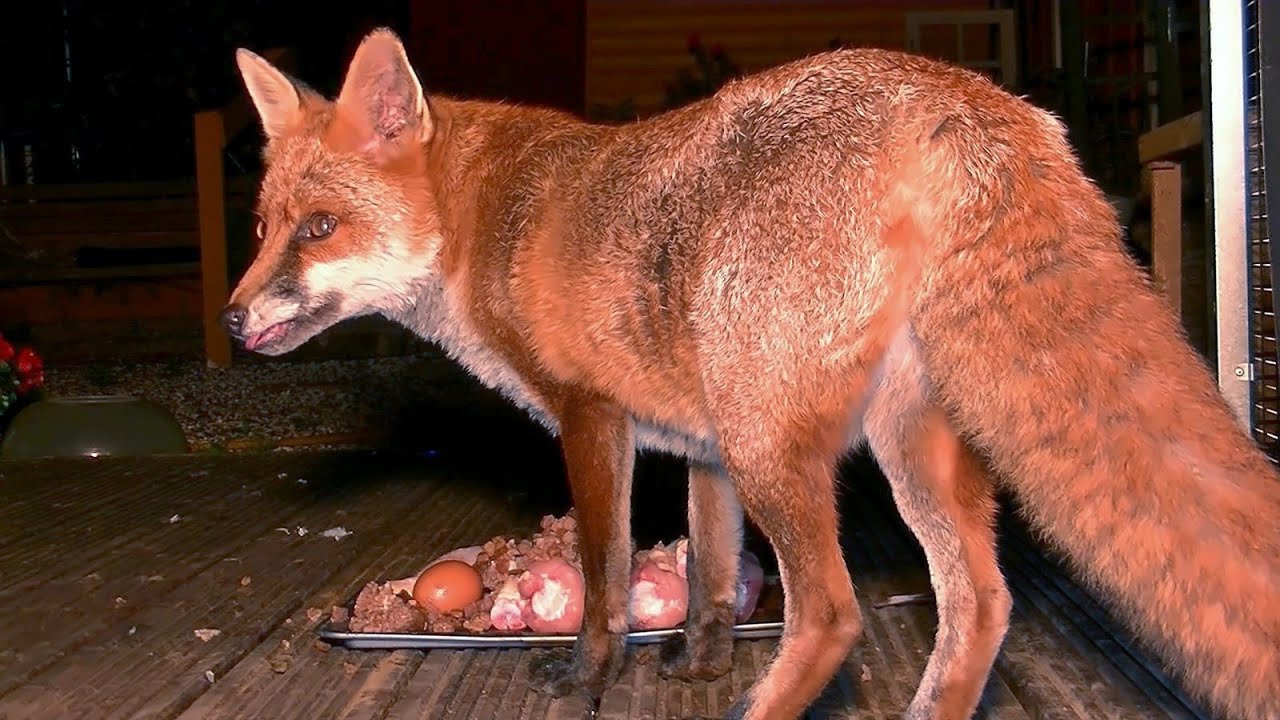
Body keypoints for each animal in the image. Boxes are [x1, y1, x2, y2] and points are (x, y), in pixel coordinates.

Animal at [222, 28, 1280, 720]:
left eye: (321, 229)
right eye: (264, 226)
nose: (231, 319)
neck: (486, 216)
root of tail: (955, 91)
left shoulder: (591, 416)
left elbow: (606, 578)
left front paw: (588, 678)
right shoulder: (700, 450)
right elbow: (709, 578)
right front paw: (697, 669)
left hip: (772, 437)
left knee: (833, 615)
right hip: (901, 448)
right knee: (980, 604)